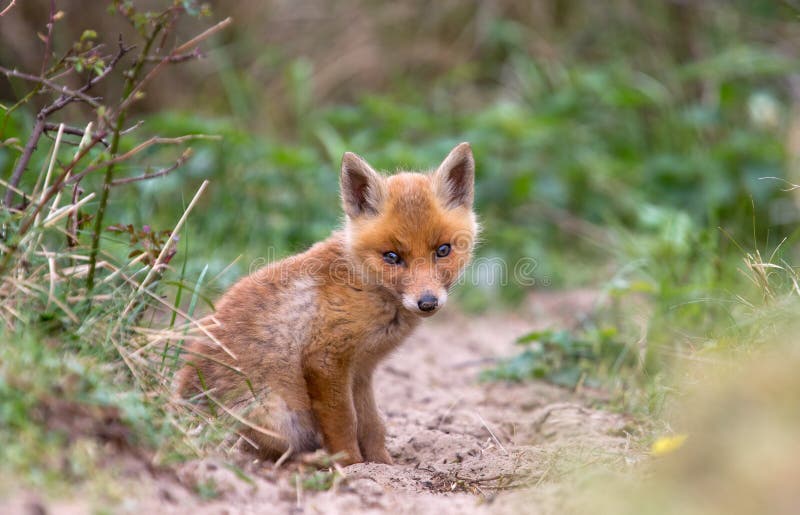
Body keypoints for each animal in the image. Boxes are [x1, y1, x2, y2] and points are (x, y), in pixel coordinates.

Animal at [176, 142, 478, 466]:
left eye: (443, 250)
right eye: (392, 257)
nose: (428, 302)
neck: (363, 286)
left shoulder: (361, 371)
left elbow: (372, 425)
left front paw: (383, 464)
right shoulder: (325, 360)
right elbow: (345, 423)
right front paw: (353, 466)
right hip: (278, 417)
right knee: (265, 455)